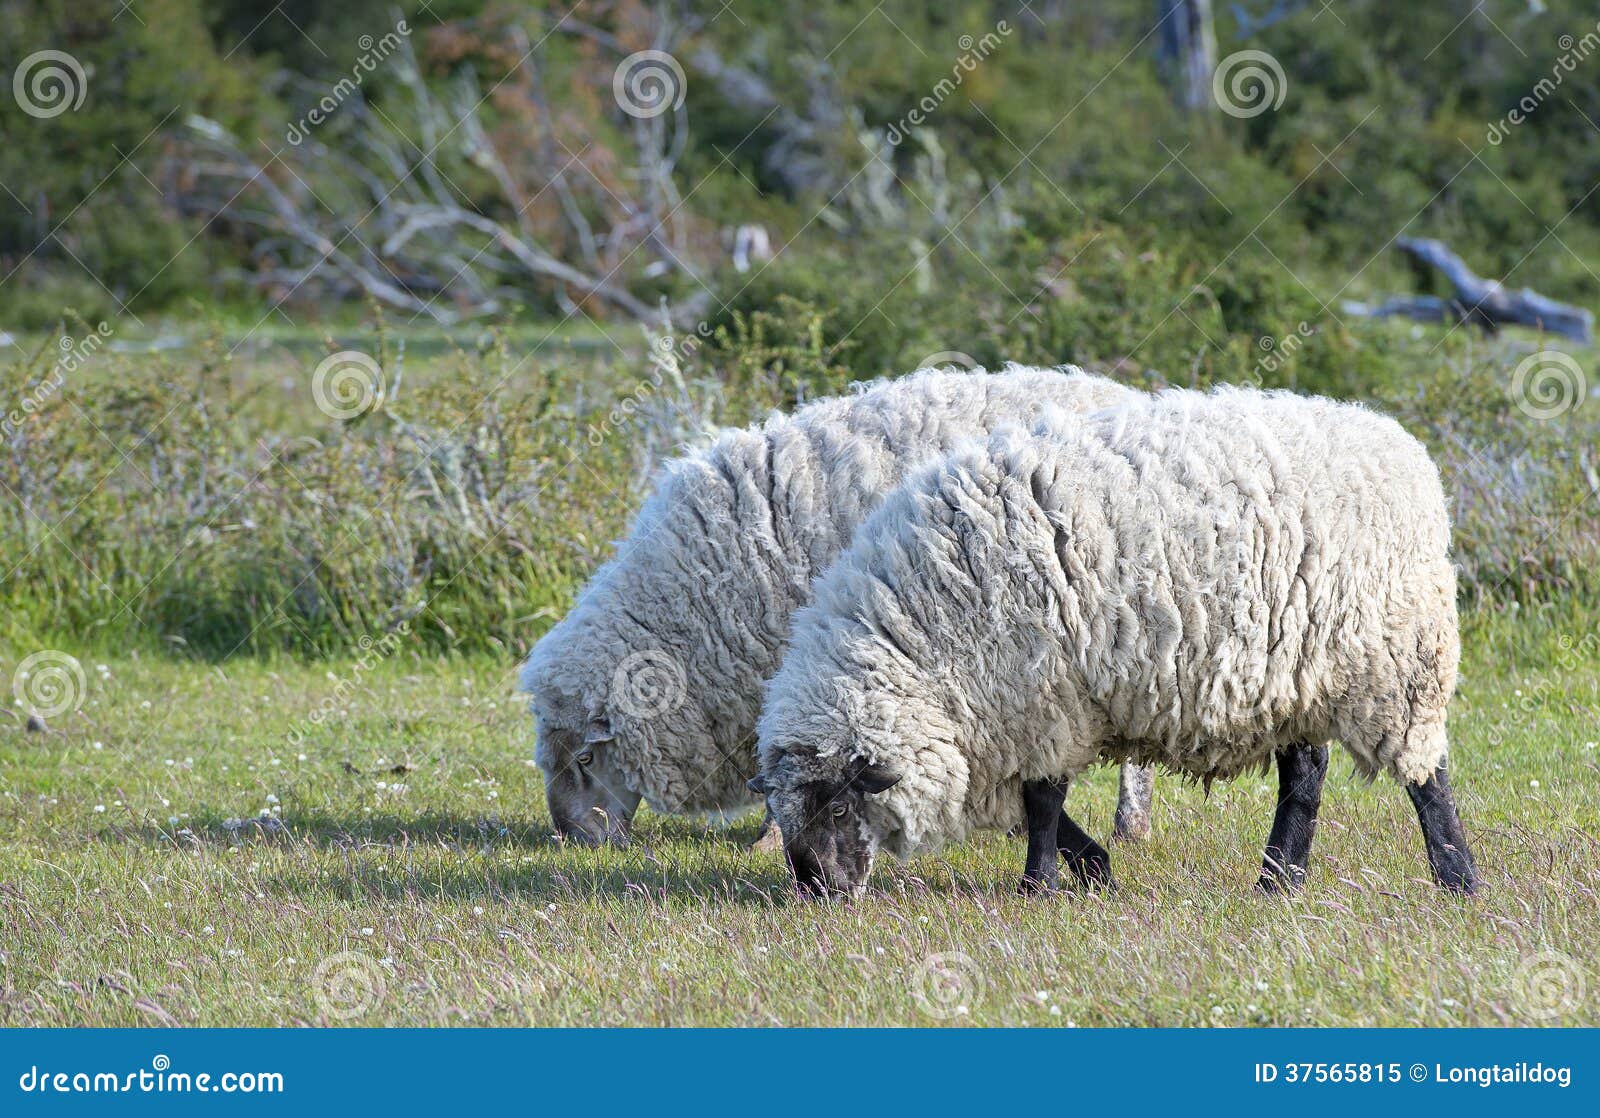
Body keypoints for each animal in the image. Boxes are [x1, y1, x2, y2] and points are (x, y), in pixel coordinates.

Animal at [519, 365, 1154, 846]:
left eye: (585, 759)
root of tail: (1123, 393)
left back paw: (1131, 822)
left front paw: (770, 834)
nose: (572, 841)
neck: (686, 612)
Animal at [752, 386, 1481, 897]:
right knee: (1305, 775)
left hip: (1395, 659)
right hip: (1296, 672)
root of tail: (1400, 447)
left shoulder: (1044, 698)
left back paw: (1457, 877)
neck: (920, 633)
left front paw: (1039, 886)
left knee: (1427, 774)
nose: (816, 890)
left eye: (835, 801)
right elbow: (1031, 802)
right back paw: (1279, 882)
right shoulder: (1010, 717)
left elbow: (1043, 799)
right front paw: (1088, 870)